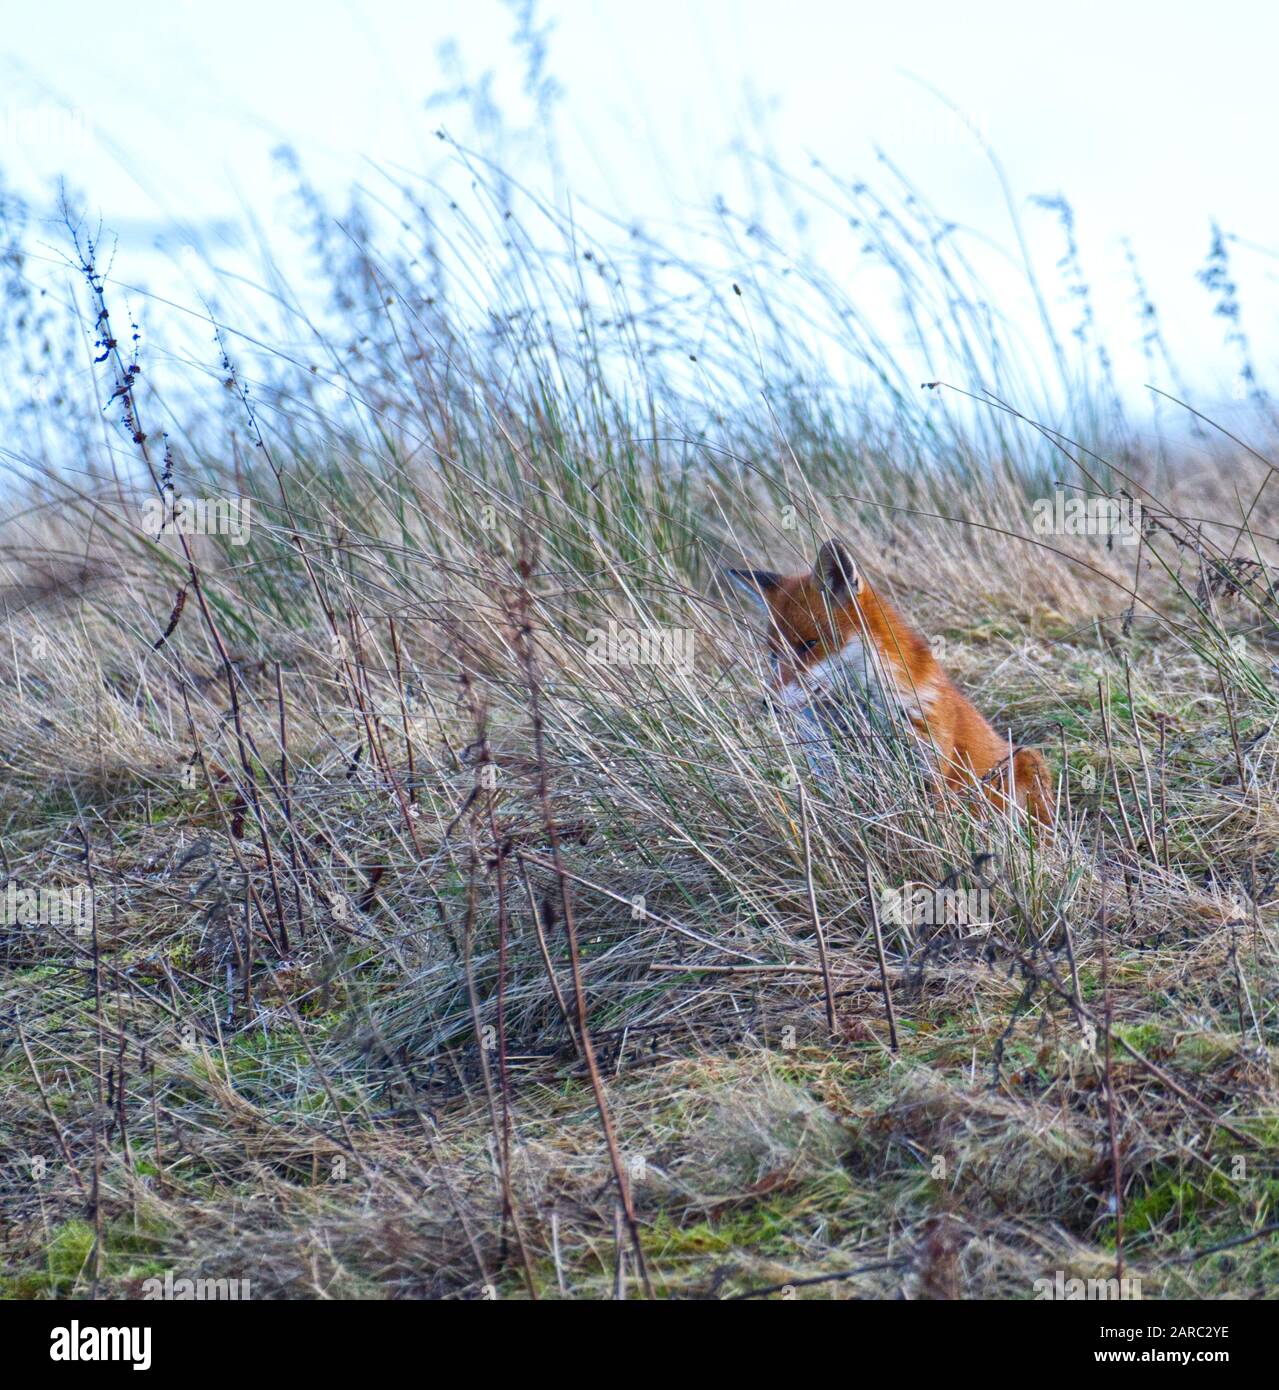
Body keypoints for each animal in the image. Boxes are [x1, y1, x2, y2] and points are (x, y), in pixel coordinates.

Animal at [728, 538, 1054, 826]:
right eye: (773, 654)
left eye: (809, 644)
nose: (767, 703)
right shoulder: (830, 772)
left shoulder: (929, 771)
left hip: (1028, 764)